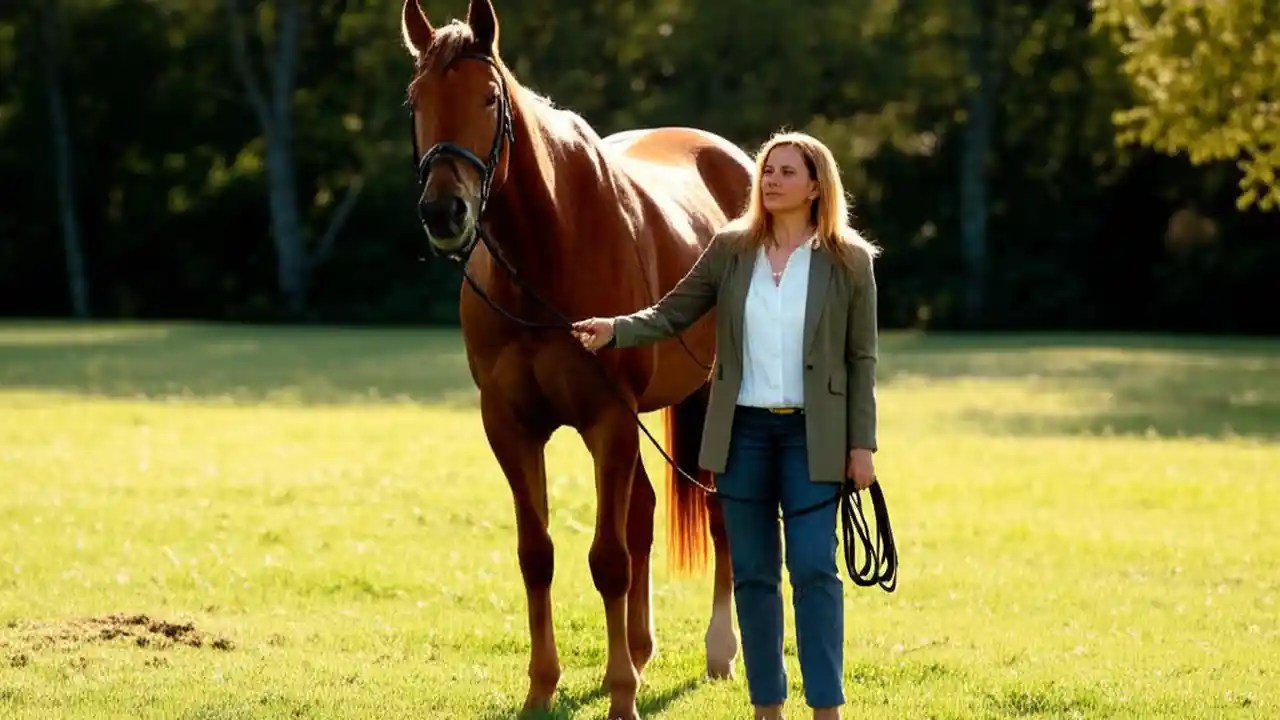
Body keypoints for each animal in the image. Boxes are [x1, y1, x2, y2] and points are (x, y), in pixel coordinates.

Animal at [400, 1, 754, 717]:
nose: (445, 211)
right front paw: (543, 688)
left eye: (488, 97)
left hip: (707, 398)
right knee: (644, 512)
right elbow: (537, 554)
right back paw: (641, 651)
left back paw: (718, 650)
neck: (548, 253)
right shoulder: (511, 427)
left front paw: (621, 697)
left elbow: (607, 560)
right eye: (415, 101)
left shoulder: (607, 420)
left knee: (716, 513)